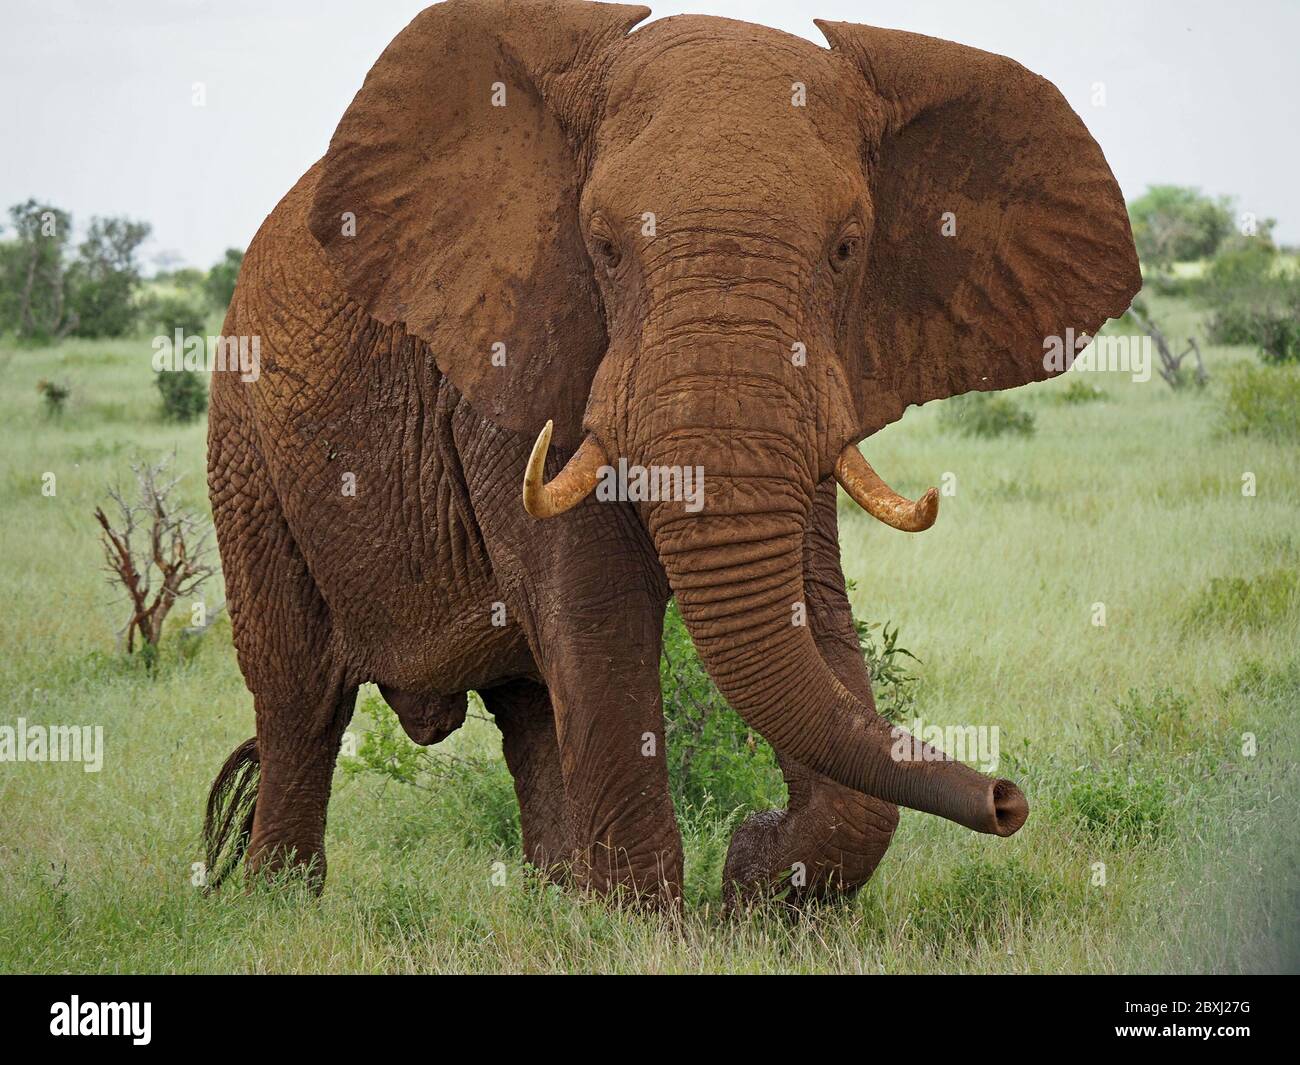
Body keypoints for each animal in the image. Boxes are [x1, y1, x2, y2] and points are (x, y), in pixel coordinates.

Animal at [202, 0, 1140, 909]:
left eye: (846, 249)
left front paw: (754, 883)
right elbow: (597, 606)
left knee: (526, 705)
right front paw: (652, 927)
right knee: (300, 694)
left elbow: (808, 605)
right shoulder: (512, 349)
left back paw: (555, 899)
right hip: (244, 439)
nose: (1007, 799)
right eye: (605, 247)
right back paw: (282, 902)